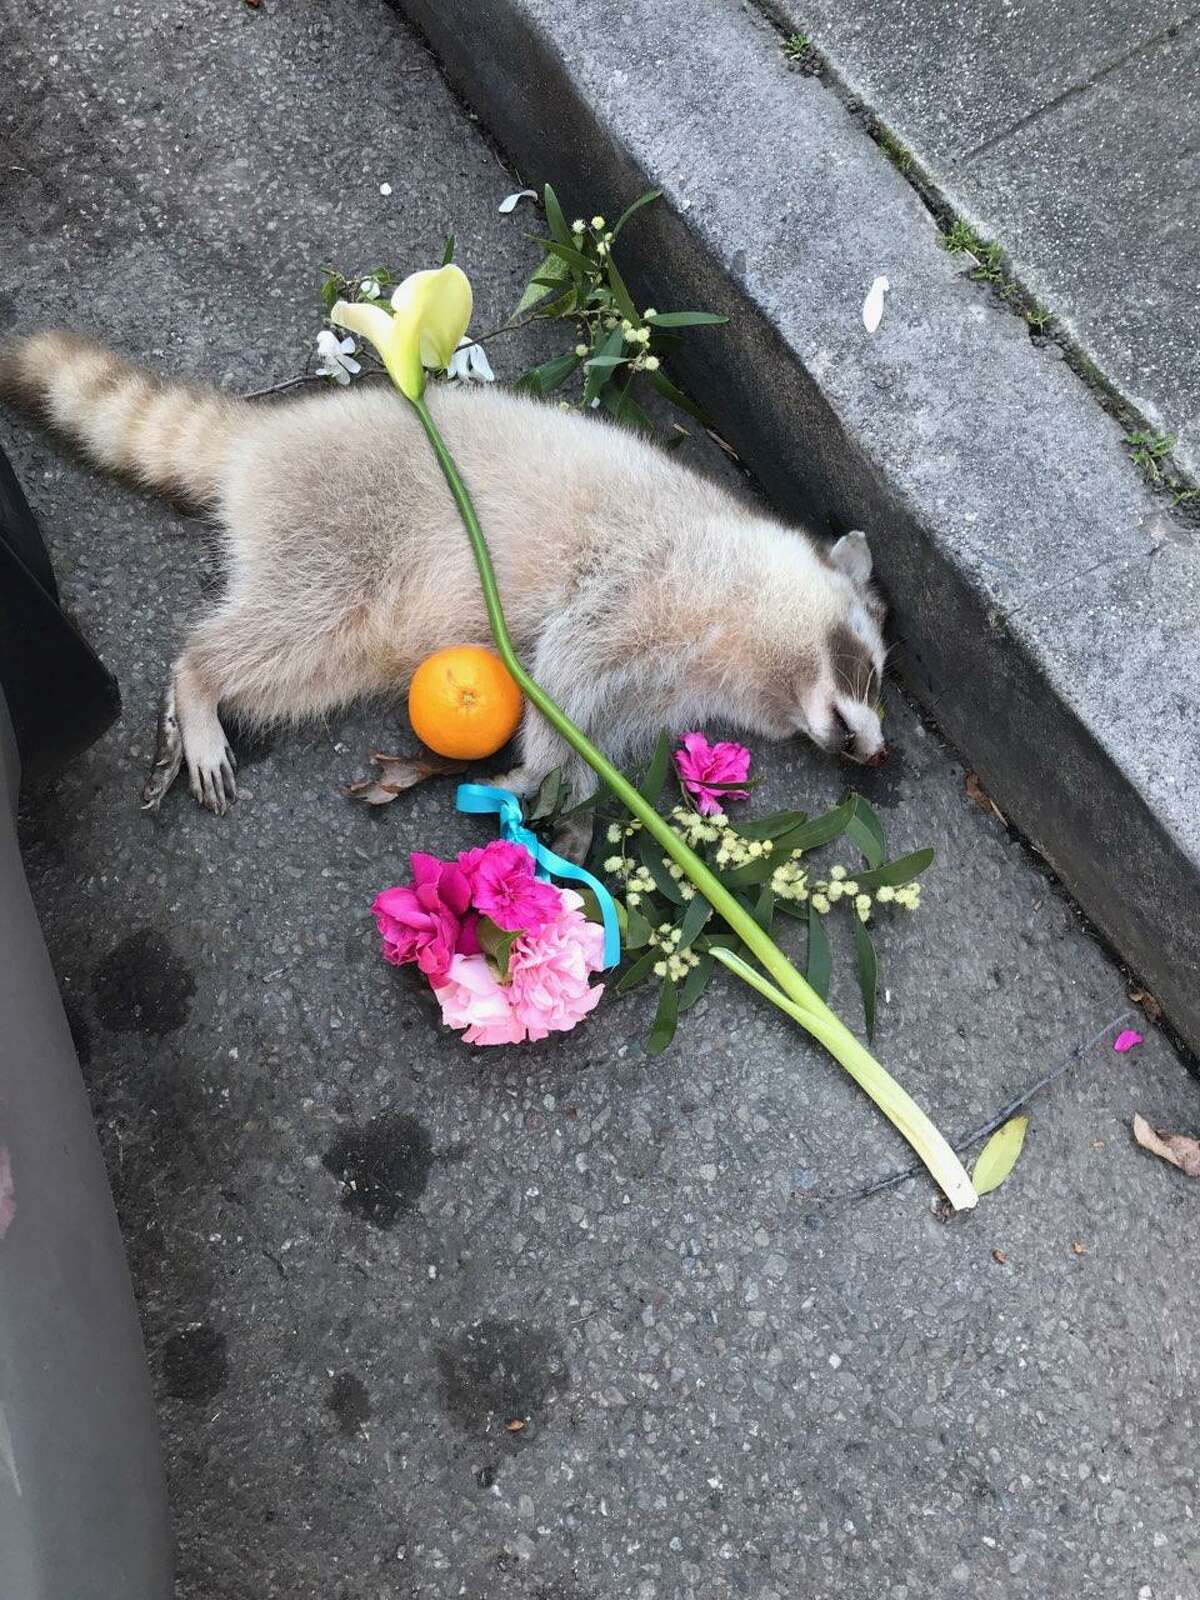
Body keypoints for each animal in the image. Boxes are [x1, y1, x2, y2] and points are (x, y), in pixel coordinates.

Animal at [0, 331, 887, 816]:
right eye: (871, 669)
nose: (878, 757)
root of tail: (265, 435)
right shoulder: (657, 568)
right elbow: (568, 658)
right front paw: (537, 762)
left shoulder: (666, 679)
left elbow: (594, 714)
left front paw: (572, 779)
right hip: (342, 530)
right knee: (284, 625)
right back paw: (198, 676)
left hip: (360, 622)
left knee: (305, 671)